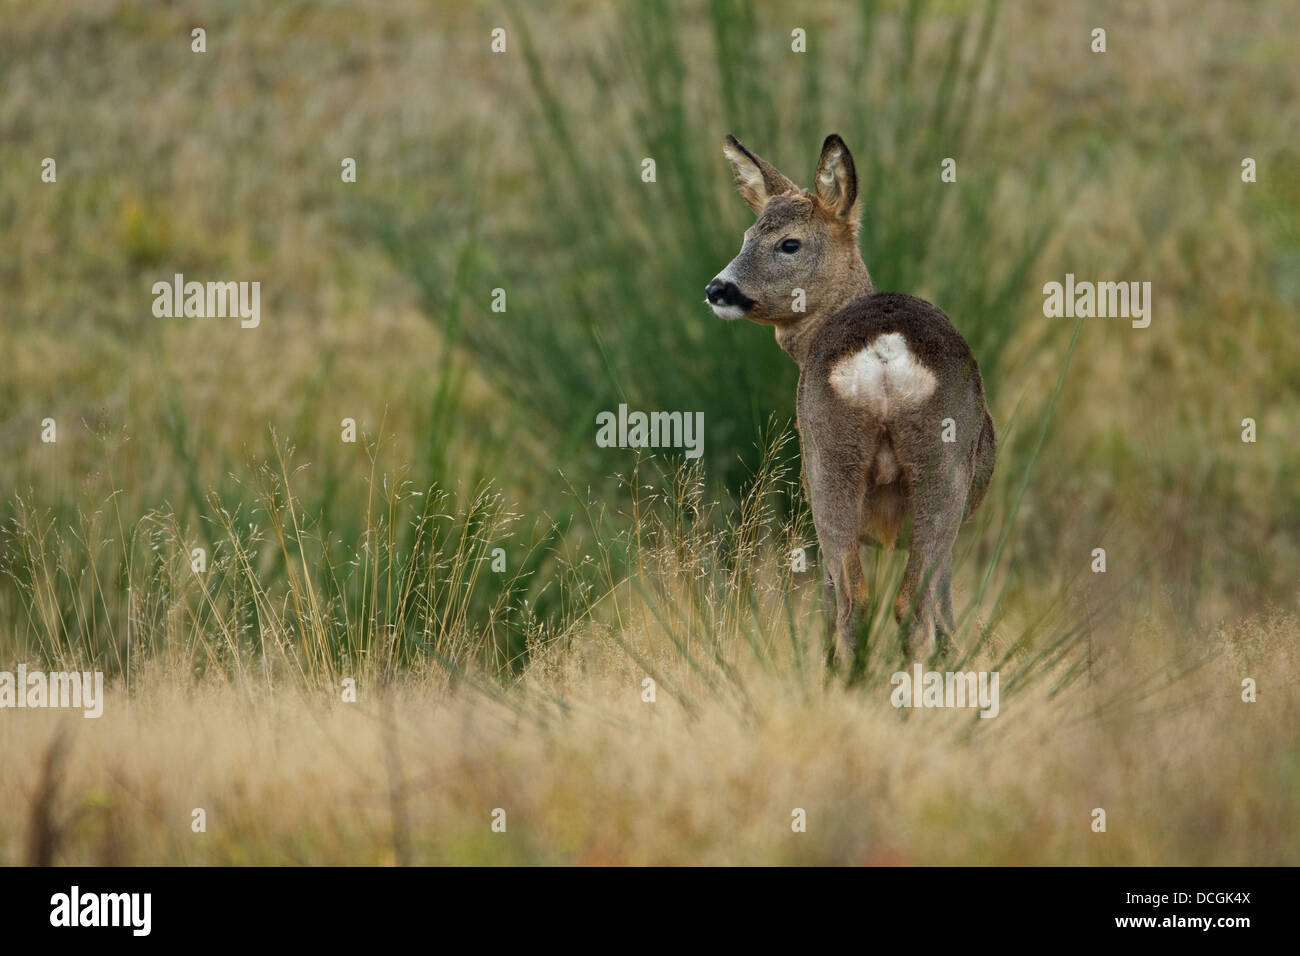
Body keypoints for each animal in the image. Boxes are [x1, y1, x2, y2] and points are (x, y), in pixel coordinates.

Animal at [705, 133, 996, 666]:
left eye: (789, 242)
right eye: (746, 236)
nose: (717, 288)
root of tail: (884, 348)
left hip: (839, 463)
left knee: (863, 599)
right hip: (913, 465)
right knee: (888, 601)